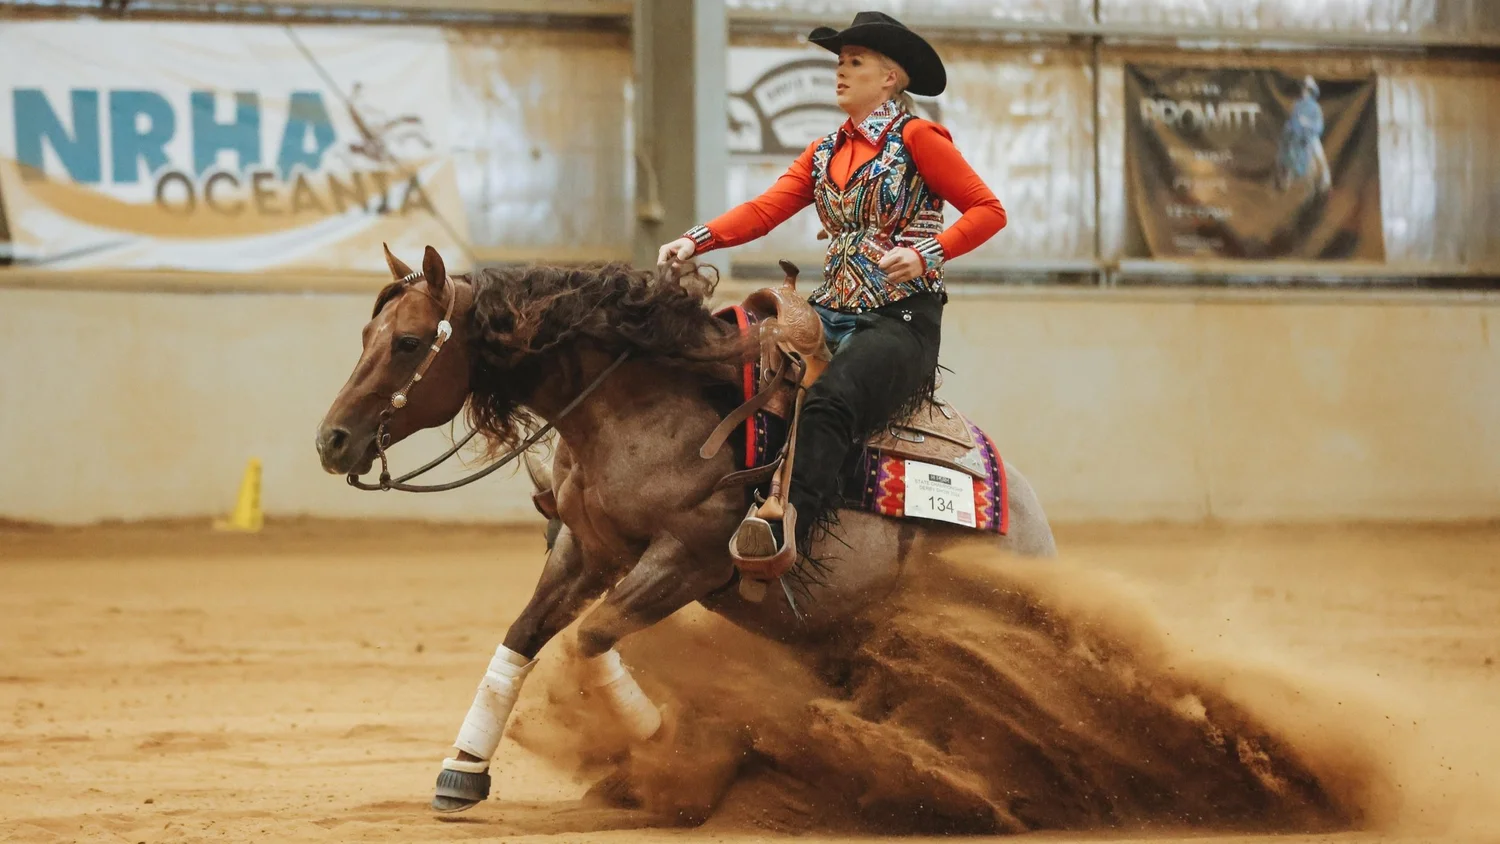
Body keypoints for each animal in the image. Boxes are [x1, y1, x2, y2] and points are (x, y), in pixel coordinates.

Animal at [314, 244, 1058, 816]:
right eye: (366, 337)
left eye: (409, 342)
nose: (332, 441)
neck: (639, 405)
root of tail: (1027, 518)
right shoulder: (588, 550)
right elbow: (522, 636)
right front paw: (463, 769)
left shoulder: (688, 560)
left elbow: (593, 636)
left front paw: (656, 745)